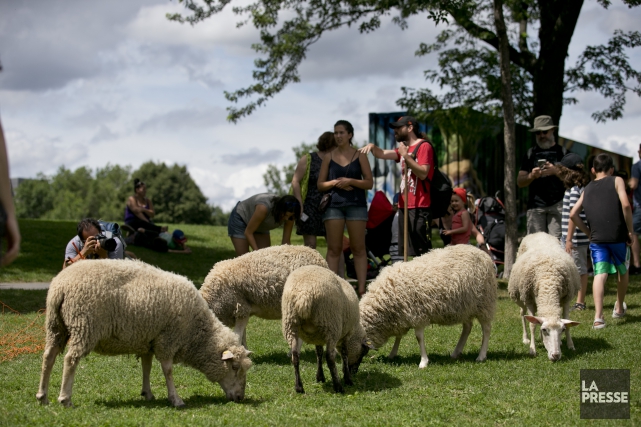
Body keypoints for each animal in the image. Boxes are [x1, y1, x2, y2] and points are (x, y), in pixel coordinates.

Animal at [36, 260, 252, 410]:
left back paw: (42, 396)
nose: (240, 398)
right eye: (234, 367)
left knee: (48, 357)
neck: (196, 331)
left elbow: (146, 367)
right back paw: (65, 398)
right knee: (70, 359)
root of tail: (60, 287)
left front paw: (147, 393)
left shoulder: (148, 339)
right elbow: (168, 371)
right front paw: (175, 399)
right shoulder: (167, 339)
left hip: (56, 326)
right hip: (85, 326)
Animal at [356, 244, 496, 372]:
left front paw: (423, 361)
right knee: (467, 328)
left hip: (484, 303)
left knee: (487, 329)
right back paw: (456, 352)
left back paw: (481, 356)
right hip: (465, 306)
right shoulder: (402, 316)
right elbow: (399, 336)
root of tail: (481, 252)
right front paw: (393, 353)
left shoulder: (418, 315)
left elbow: (419, 338)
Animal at [510, 234, 580, 362]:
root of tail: (538, 233)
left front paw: (570, 345)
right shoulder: (529, 300)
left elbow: (567, 321)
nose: (556, 356)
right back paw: (525, 338)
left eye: (562, 330)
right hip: (520, 297)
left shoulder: (566, 299)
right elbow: (532, 325)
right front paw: (532, 349)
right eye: (545, 330)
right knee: (522, 313)